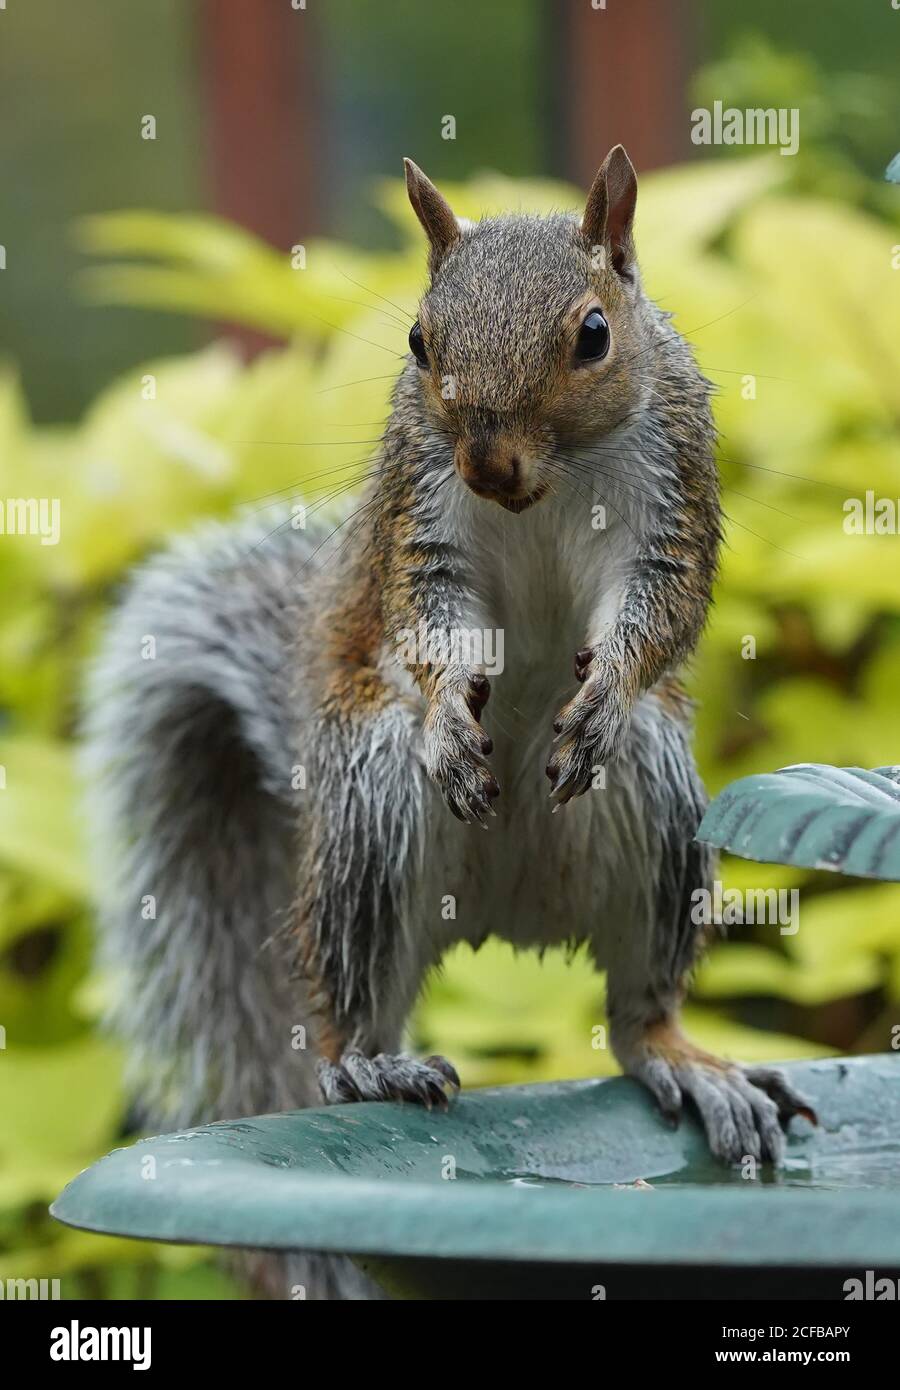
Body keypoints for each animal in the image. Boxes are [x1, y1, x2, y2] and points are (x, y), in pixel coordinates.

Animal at [85, 145, 815, 1297]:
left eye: (594, 334)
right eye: (420, 342)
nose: (488, 464)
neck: (551, 485)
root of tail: (507, 910)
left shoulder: (673, 492)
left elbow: (658, 613)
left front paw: (604, 690)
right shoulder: (422, 514)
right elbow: (429, 622)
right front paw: (445, 718)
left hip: (657, 809)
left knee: (635, 1017)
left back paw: (690, 1066)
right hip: (371, 814)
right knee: (351, 997)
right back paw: (365, 1064)